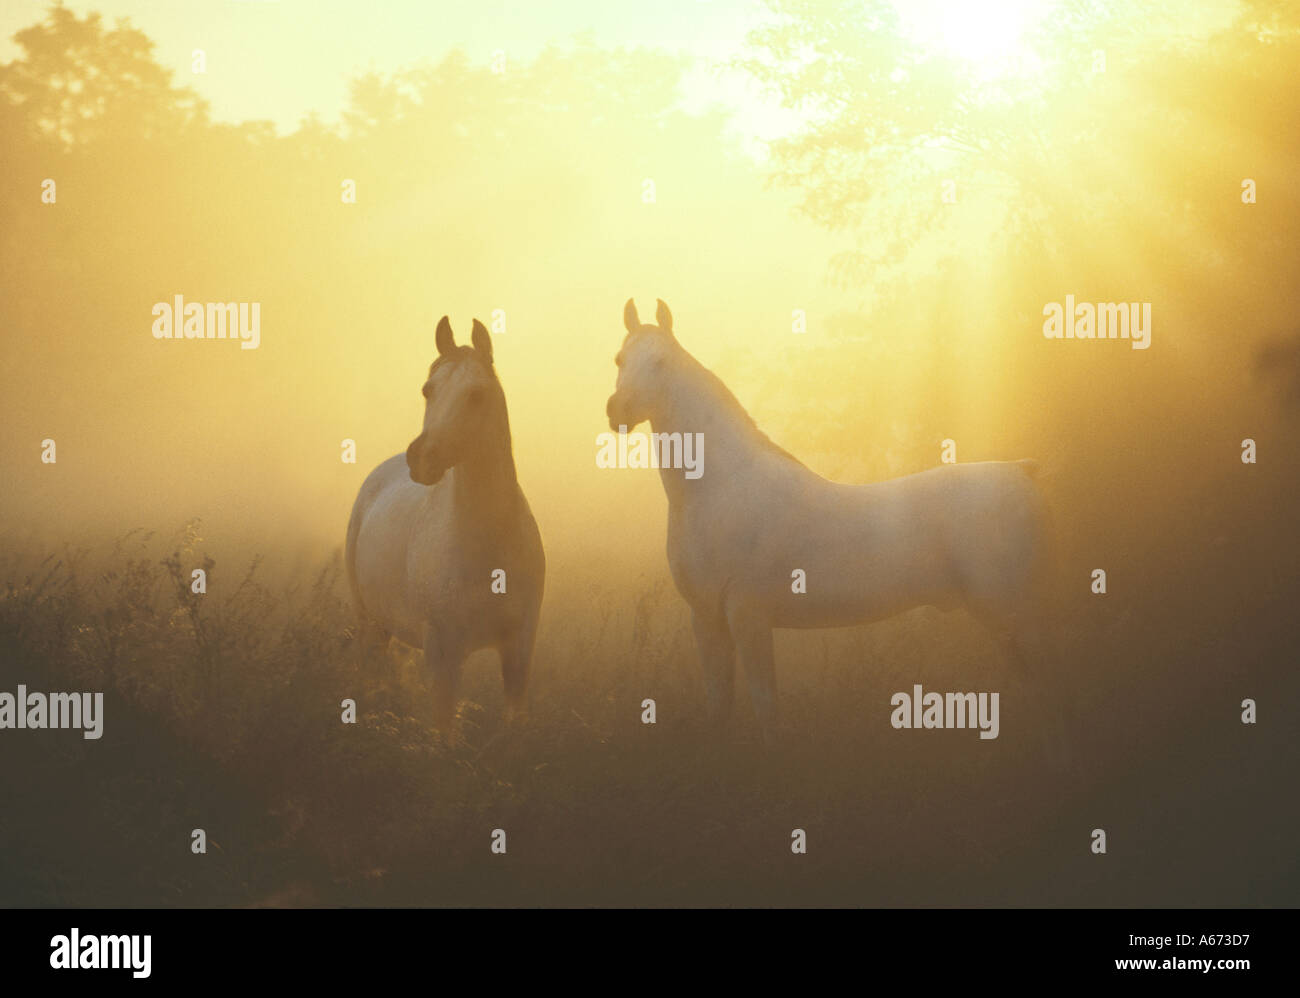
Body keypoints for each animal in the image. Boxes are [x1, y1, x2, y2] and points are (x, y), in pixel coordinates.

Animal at [346, 315, 545, 736]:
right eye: (428, 389)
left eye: (477, 394)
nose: (423, 458)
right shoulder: (443, 659)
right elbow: (444, 736)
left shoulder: (519, 652)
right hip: (370, 626)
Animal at [605, 298, 1052, 743]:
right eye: (620, 359)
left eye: (661, 361)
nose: (617, 411)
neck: (719, 488)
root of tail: (1021, 471)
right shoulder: (706, 620)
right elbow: (719, 708)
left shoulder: (749, 617)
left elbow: (767, 711)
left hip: (1013, 615)